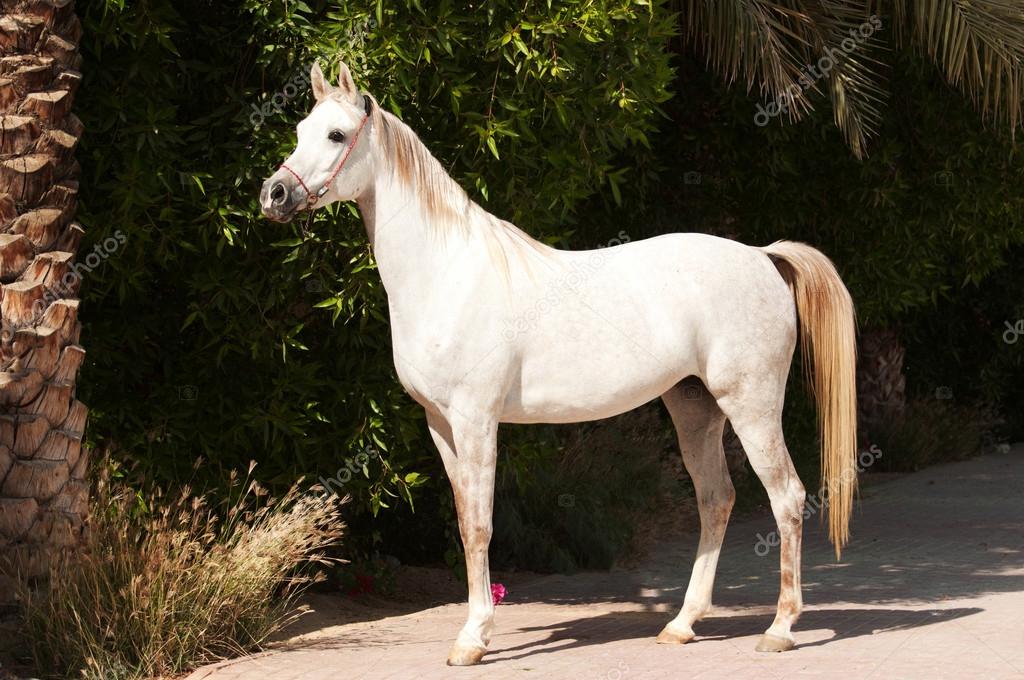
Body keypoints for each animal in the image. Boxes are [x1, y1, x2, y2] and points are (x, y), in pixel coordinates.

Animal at [260, 60, 858, 666]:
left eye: (337, 135)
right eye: (300, 131)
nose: (274, 194)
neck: (448, 272)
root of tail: (763, 256)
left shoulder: (476, 422)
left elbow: (480, 527)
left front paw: (473, 639)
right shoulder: (441, 426)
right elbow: (464, 522)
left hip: (751, 406)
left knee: (787, 498)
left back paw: (780, 628)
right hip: (695, 407)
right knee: (717, 500)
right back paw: (681, 624)